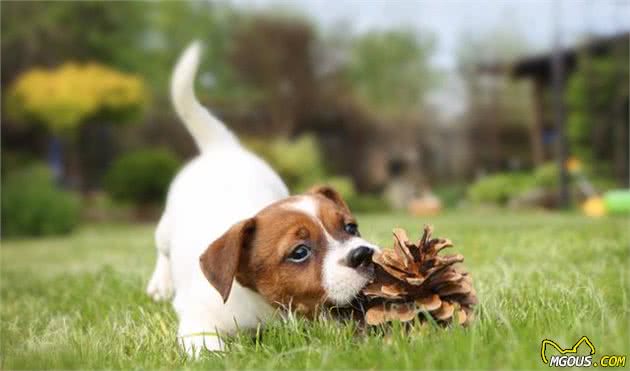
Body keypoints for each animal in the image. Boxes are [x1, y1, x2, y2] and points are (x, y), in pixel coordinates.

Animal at [146, 42, 378, 358]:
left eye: (351, 228)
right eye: (299, 252)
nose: (364, 254)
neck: (264, 305)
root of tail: (222, 148)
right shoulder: (199, 319)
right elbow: (206, 345)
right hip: (165, 227)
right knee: (162, 252)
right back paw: (160, 284)